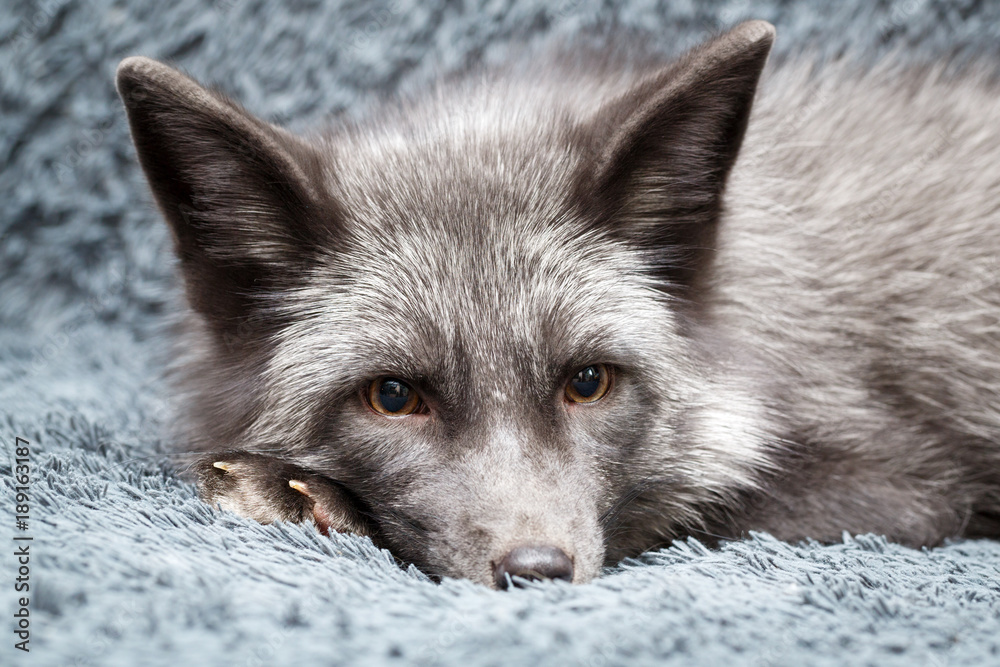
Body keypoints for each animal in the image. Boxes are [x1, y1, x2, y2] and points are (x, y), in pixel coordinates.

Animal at [116, 20, 1000, 589]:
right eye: (392, 395)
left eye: (588, 381)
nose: (537, 572)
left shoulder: (902, 488)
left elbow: (704, 506)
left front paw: (302, 495)